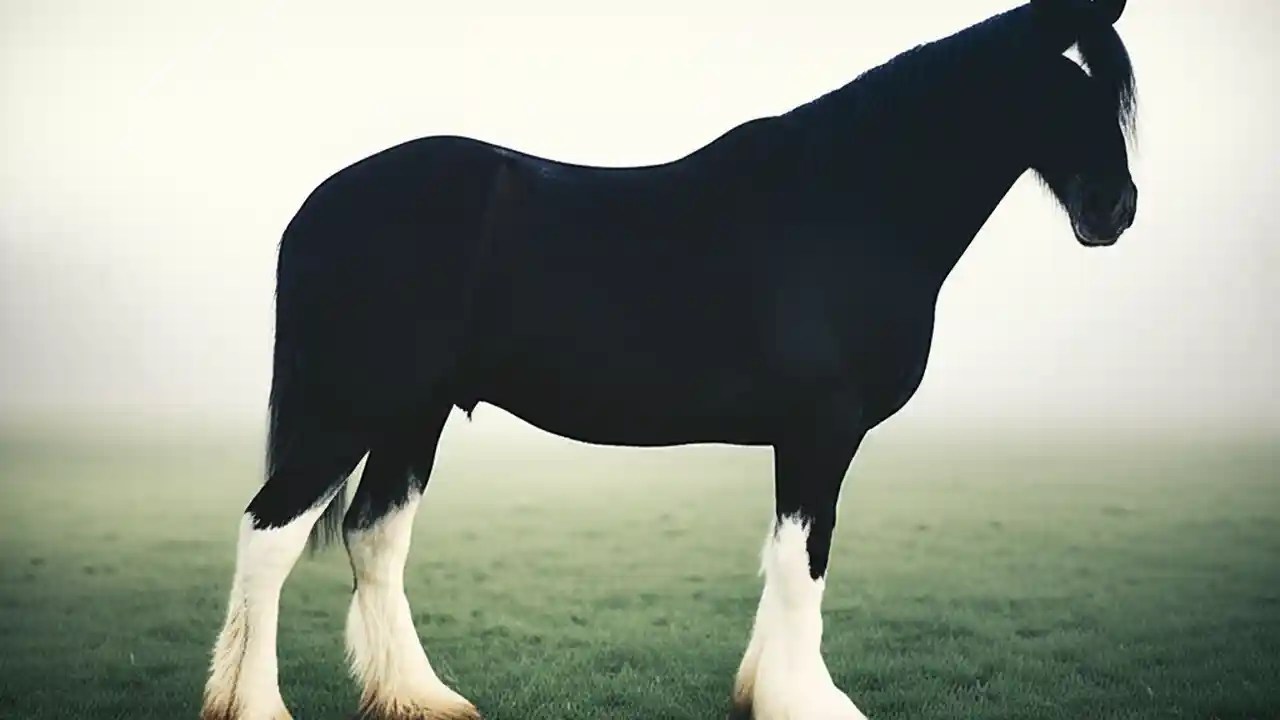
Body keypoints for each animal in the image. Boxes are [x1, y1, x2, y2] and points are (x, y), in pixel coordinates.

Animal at [200, 1, 1138, 718]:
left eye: (1115, 84)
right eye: (1062, 84)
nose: (1113, 209)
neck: (851, 205)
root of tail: (320, 204)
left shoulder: (803, 439)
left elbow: (780, 561)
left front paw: (763, 692)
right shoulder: (821, 431)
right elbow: (804, 564)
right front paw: (808, 703)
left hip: (412, 413)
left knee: (374, 537)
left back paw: (420, 697)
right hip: (349, 407)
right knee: (270, 536)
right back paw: (258, 706)